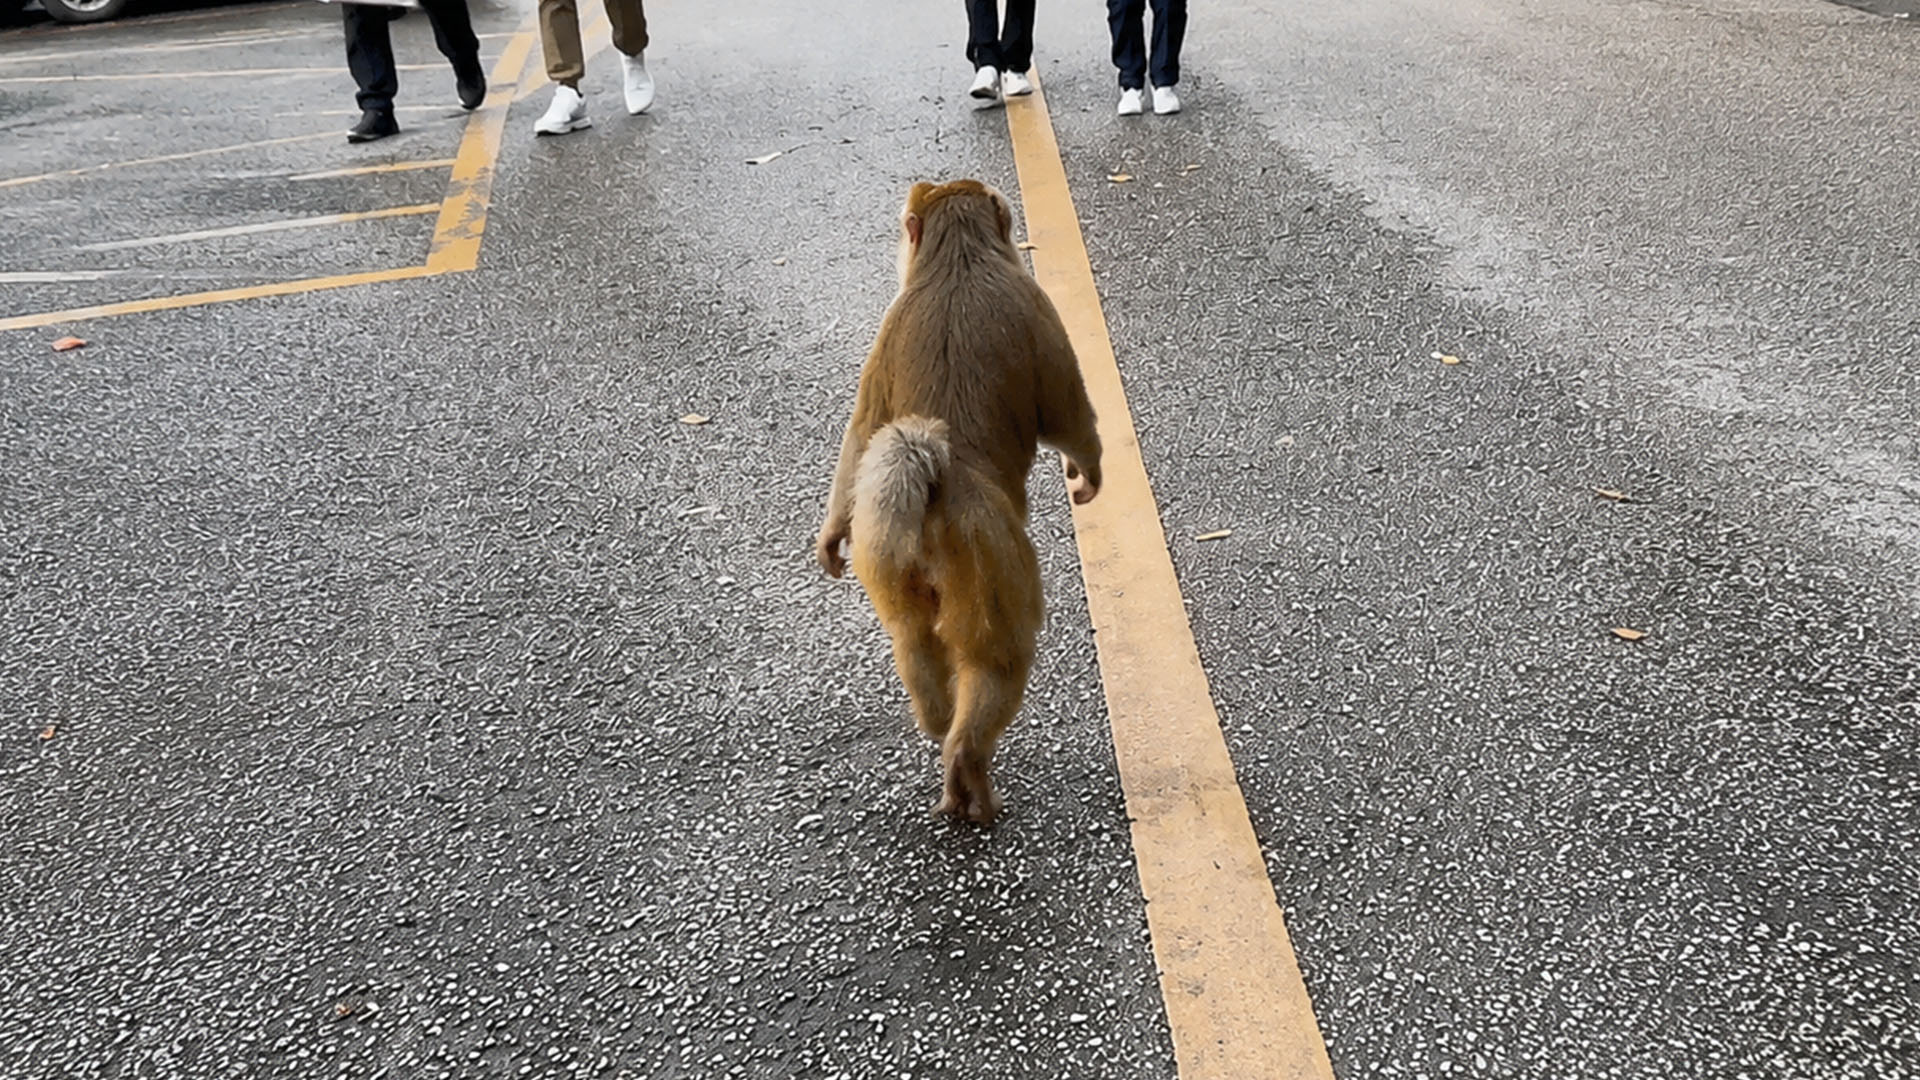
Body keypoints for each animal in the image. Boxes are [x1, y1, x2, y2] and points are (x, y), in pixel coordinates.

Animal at [814, 179, 1103, 825]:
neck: (958, 261)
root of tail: (934, 482)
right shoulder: (1036, 304)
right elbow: (1067, 412)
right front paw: (1089, 474)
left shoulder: (889, 323)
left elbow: (861, 429)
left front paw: (829, 536)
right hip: (986, 550)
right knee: (998, 658)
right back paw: (969, 765)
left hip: (888, 556)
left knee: (913, 636)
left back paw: (938, 719)